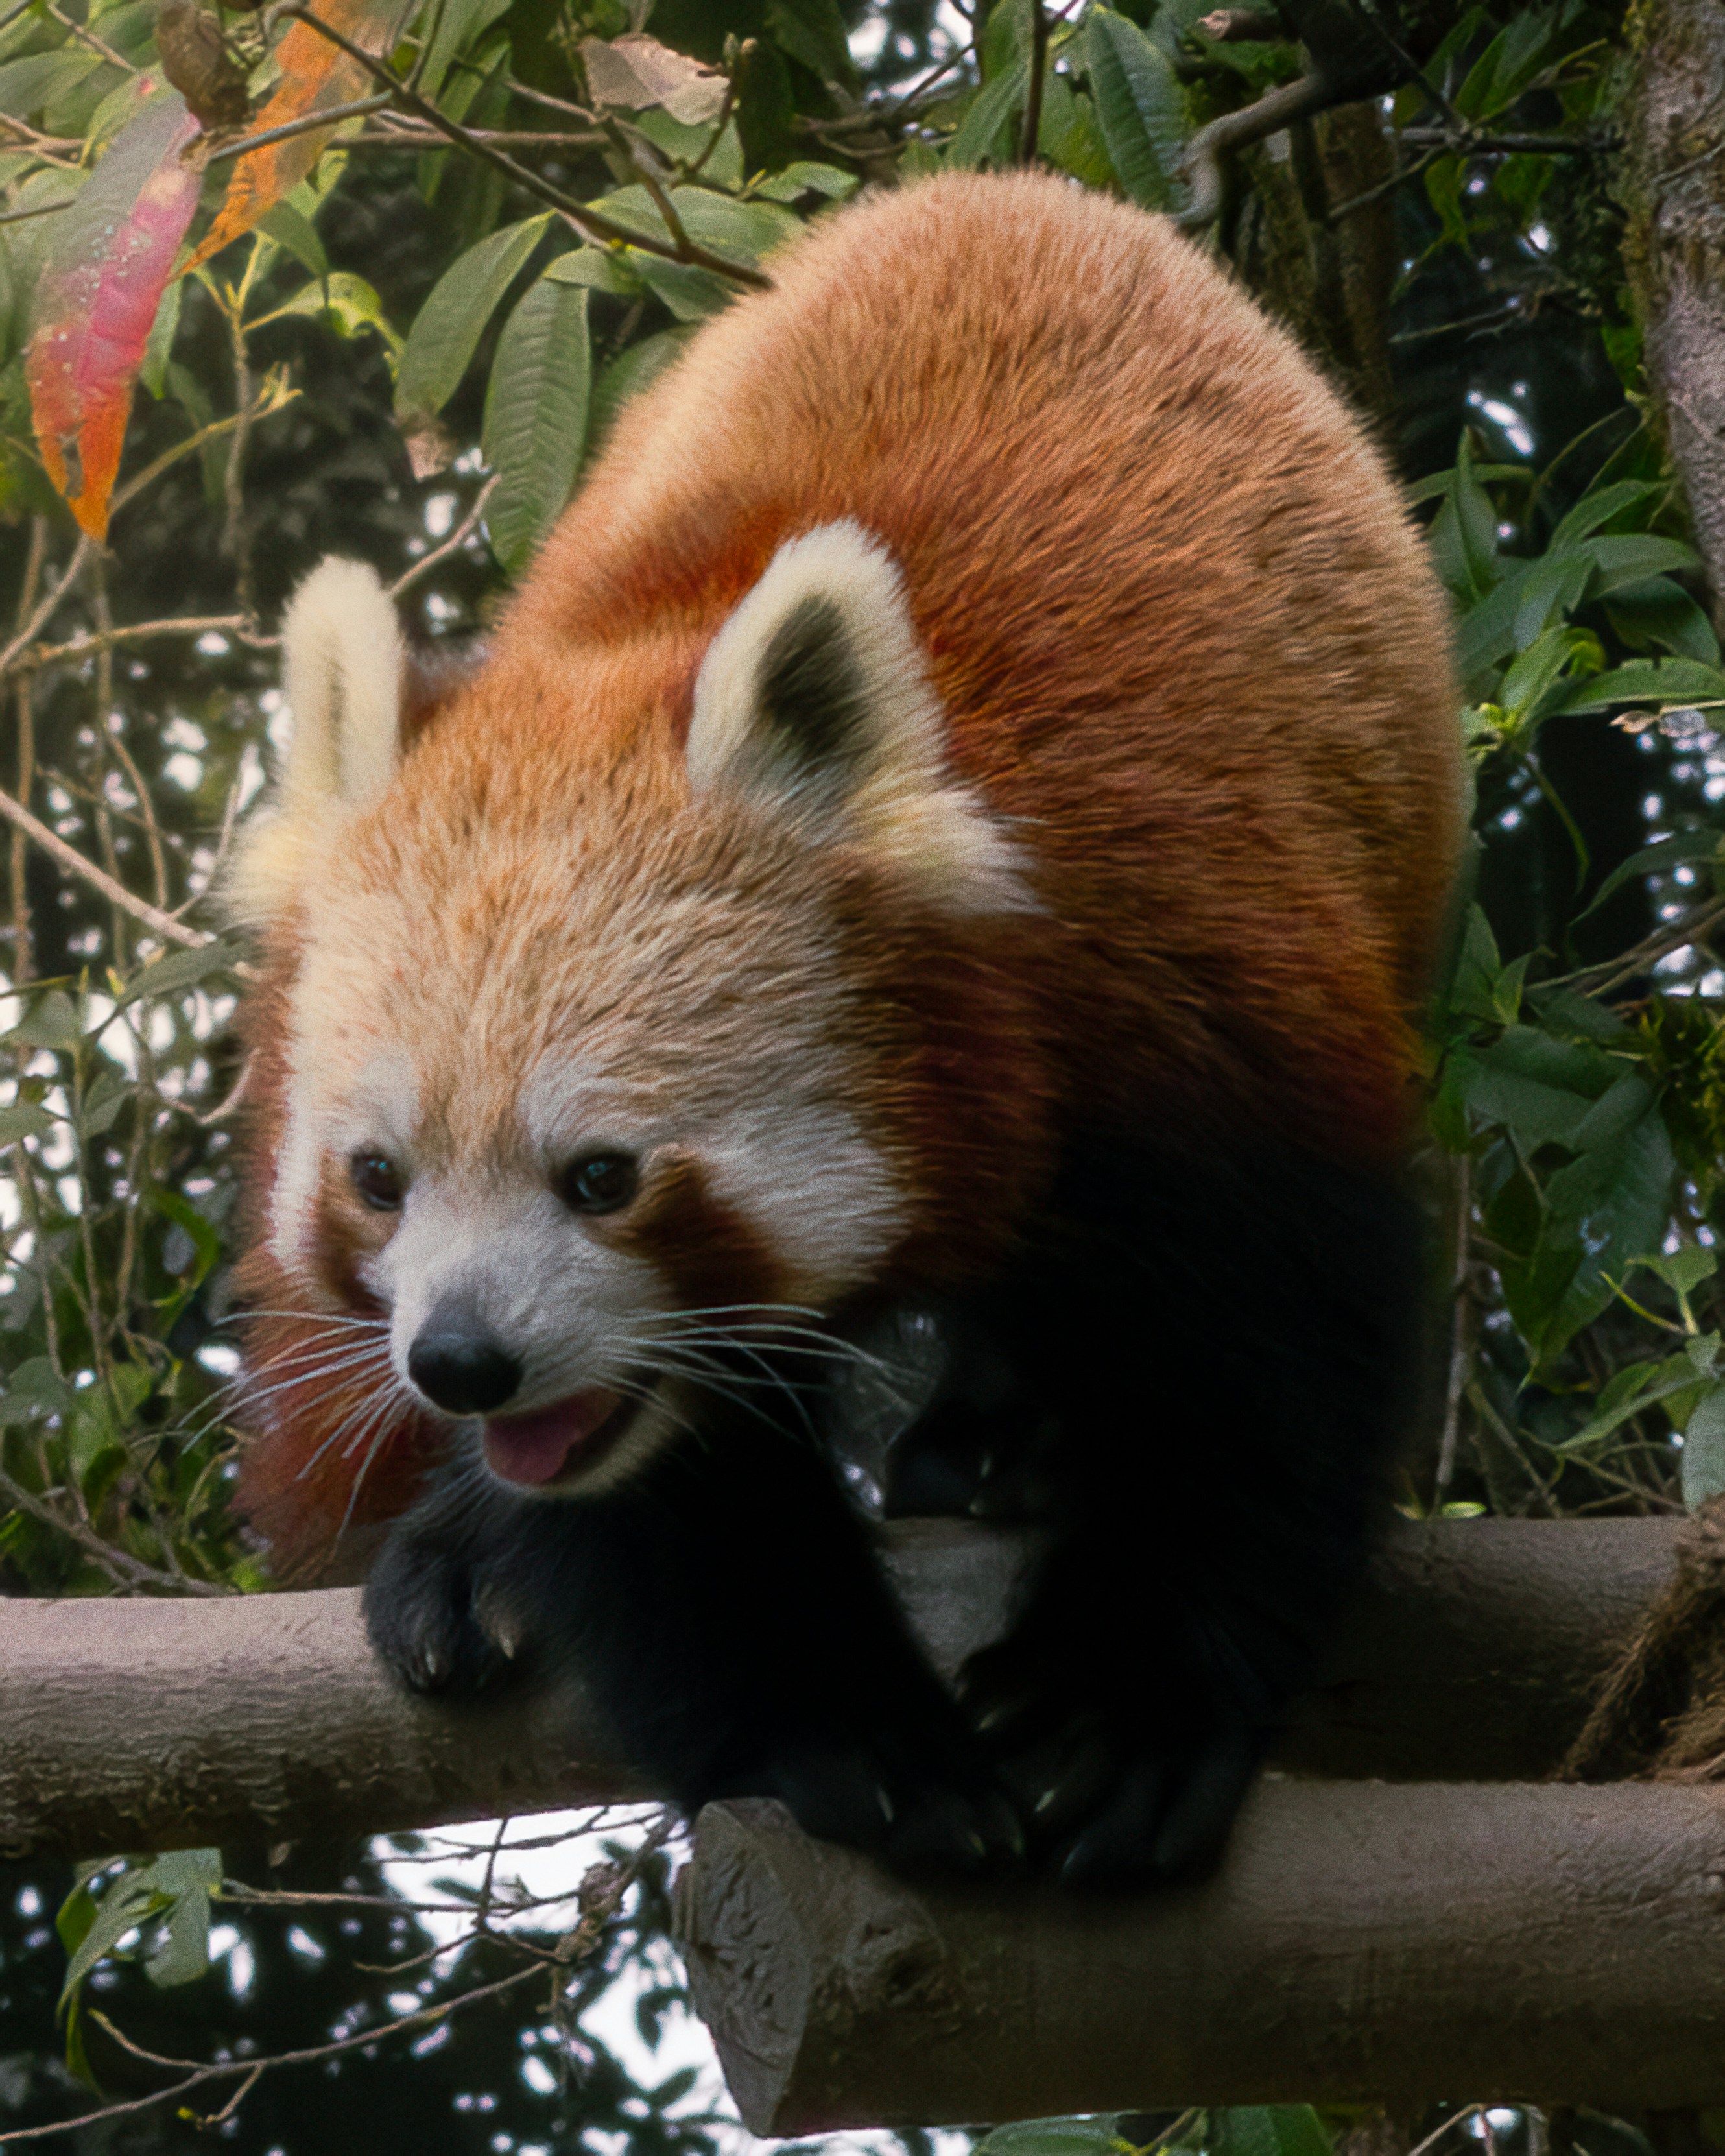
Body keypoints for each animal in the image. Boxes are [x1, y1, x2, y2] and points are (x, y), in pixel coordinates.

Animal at [227, 170, 1463, 1887]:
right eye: (378, 1178)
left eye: (604, 1175)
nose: (463, 1362)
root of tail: (1007, 185)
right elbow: (666, 1503)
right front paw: (850, 1743)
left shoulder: (1196, 984)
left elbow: (1255, 1360)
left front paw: (1117, 1712)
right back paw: (459, 1561)